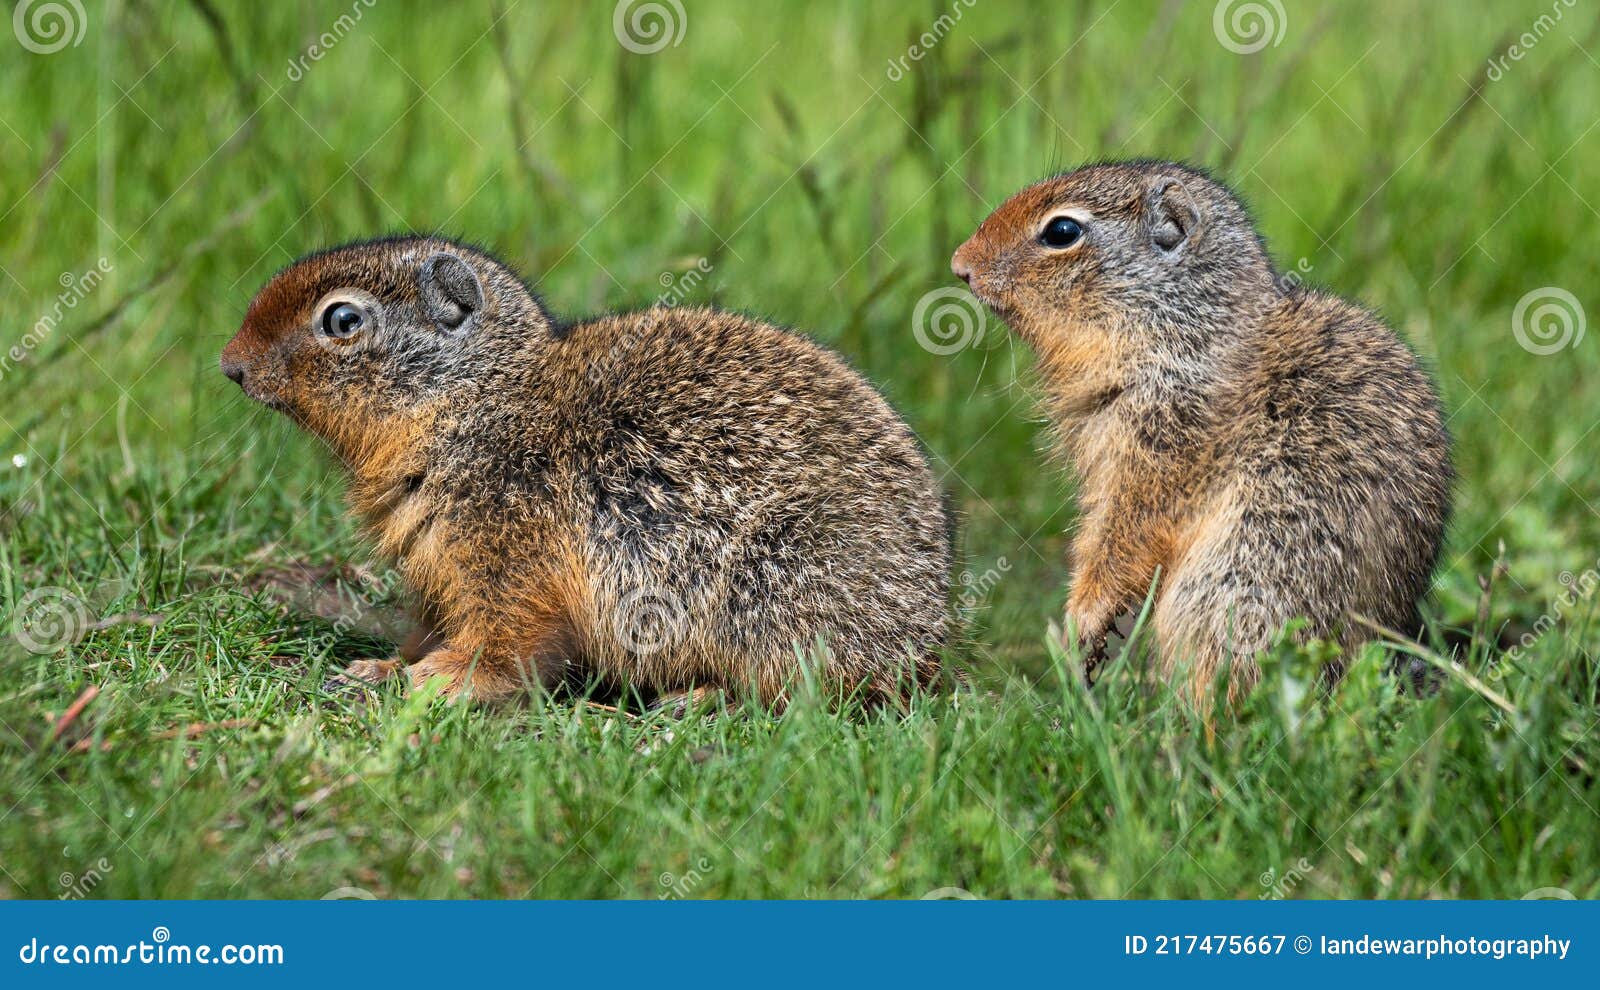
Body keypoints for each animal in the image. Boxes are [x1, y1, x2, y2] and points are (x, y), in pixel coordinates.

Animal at [222, 236, 951, 707]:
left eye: (342, 318)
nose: (230, 364)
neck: (478, 403)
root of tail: (931, 638)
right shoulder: (436, 561)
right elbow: (428, 624)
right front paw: (378, 665)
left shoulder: (506, 546)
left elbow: (506, 635)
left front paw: (444, 678)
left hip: (775, 584)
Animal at [951, 160, 1452, 703]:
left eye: (1062, 231)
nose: (960, 265)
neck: (1183, 329)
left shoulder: (1163, 447)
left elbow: (1124, 539)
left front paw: (1082, 620)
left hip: (1225, 589)